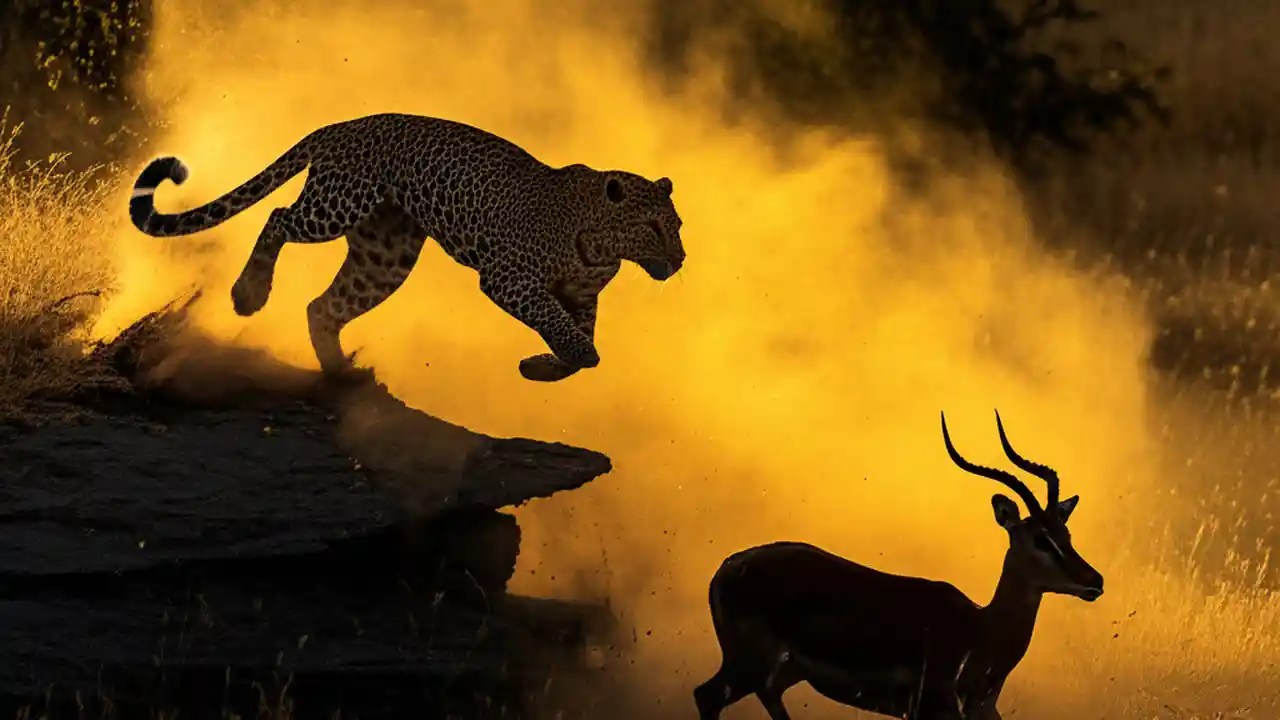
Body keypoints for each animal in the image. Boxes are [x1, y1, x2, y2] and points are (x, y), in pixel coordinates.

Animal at [128, 112, 685, 382]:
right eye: (652, 228)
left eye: (676, 226)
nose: (680, 261)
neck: (601, 243)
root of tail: (342, 125)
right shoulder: (510, 277)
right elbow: (568, 335)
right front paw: (548, 360)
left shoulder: (583, 299)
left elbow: (583, 351)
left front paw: (539, 368)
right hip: (337, 202)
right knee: (278, 218)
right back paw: (250, 293)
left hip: (385, 256)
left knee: (322, 307)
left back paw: (341, 376)